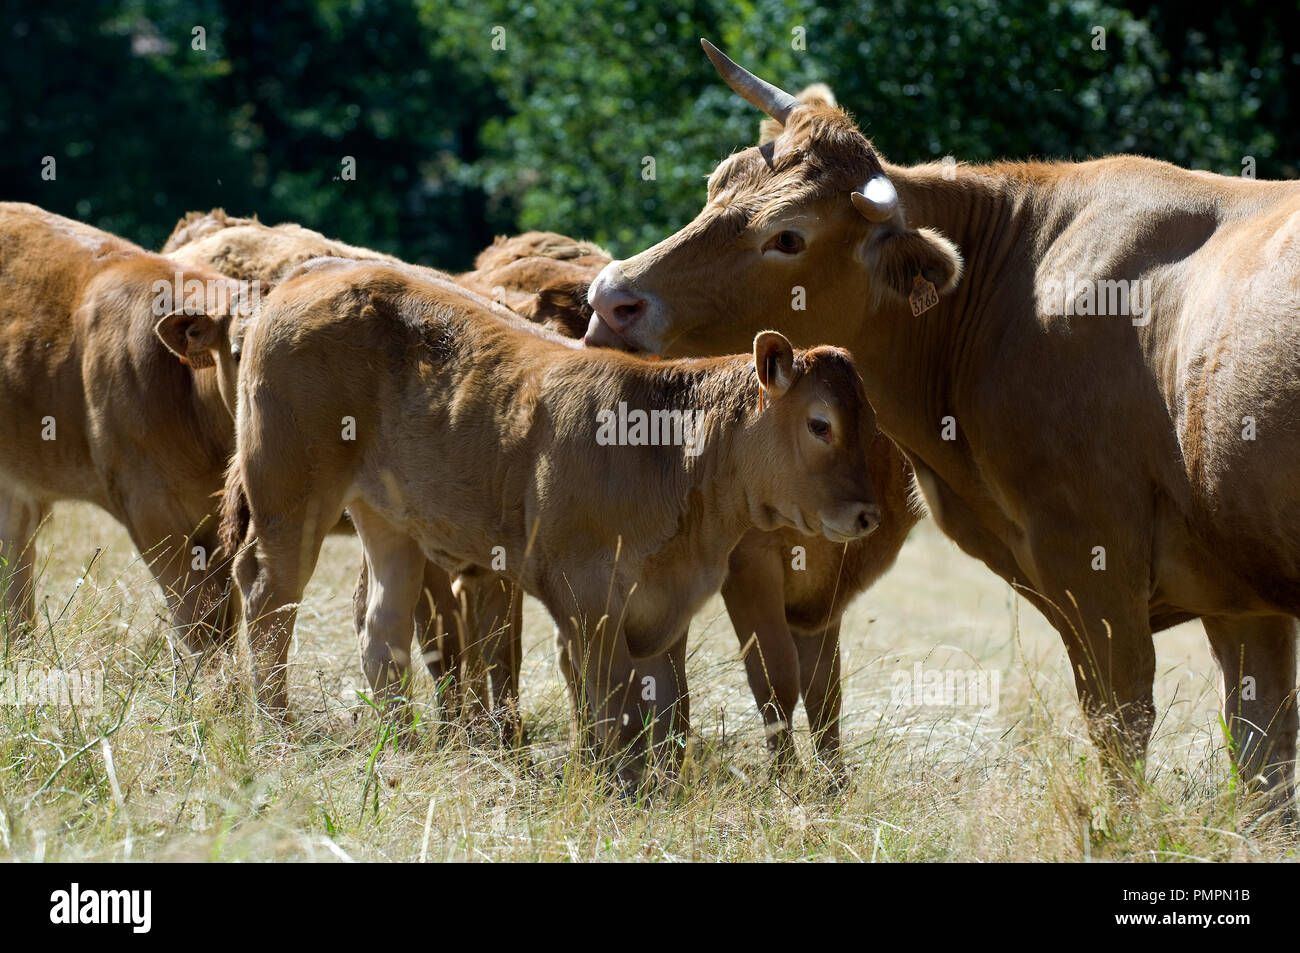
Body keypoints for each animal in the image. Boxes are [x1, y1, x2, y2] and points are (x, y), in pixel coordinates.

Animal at [163, 212, 919, 771]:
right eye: (820, 423)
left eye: (872, 425)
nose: (866, 513)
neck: (669, 450)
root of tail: (316, 272)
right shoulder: (583, 597)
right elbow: (608, 704)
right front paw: (607, 781)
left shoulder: (664, 606)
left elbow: (665, 707)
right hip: (291, 492)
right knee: (268, 593)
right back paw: (277, 724)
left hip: (387, 519)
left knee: (383, 625)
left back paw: (398, 743)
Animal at [585, 39, 1300, 809]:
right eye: (719, 182)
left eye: (789, 237)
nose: (610, 298)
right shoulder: (1240, 600)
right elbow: (1264, 760)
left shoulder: (1093, 561)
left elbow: (1122, 726)